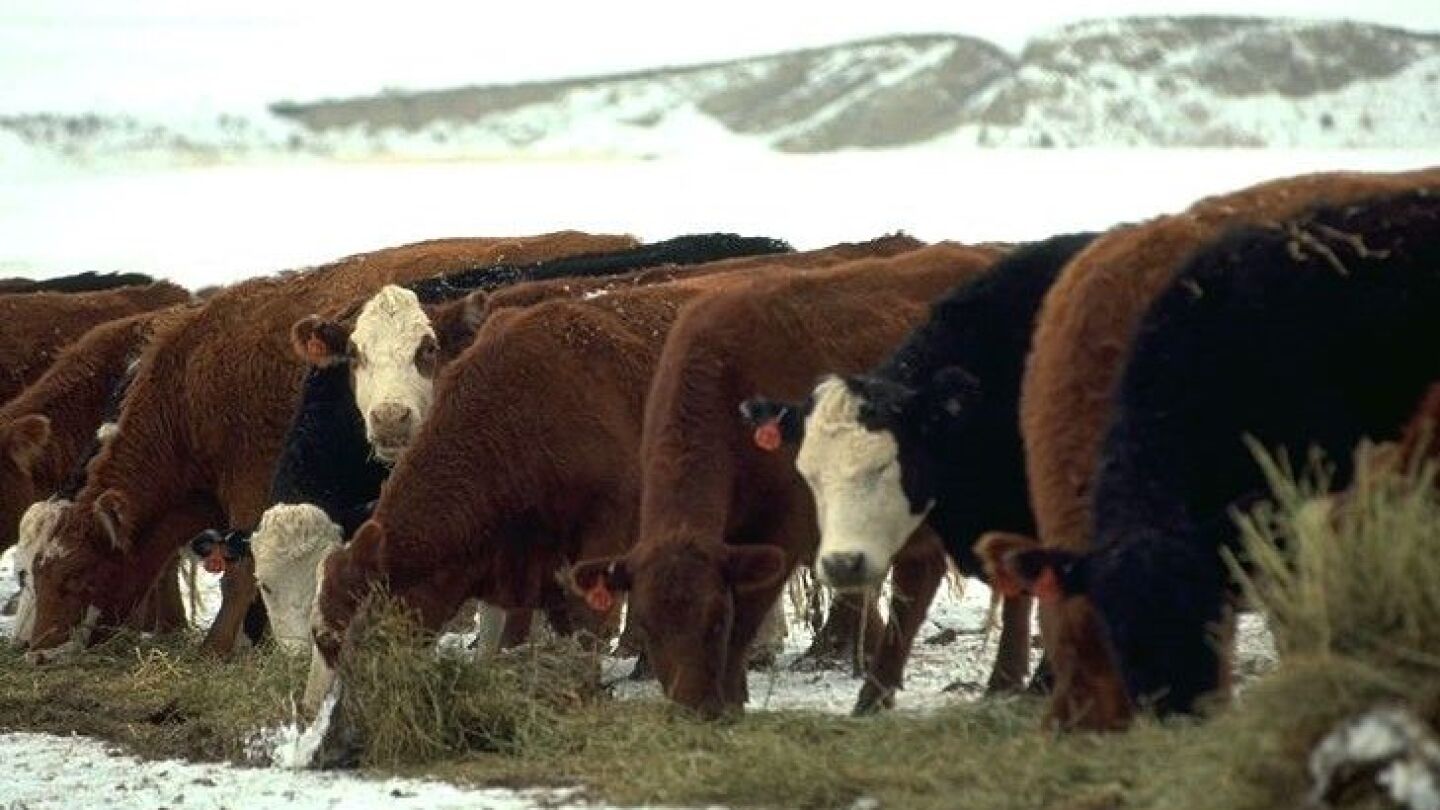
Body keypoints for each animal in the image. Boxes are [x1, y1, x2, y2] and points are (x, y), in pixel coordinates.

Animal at [23, 232, 640, 662]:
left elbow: (240, 578)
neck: (192, 385)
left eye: (72, 573)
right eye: (28, 572)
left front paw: (218, 650)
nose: (34, 650)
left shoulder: (250, 482)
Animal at [305, 243, 938, 715]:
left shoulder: (605, 526)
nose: (322, 716)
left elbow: (587, 620)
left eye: (344, 636)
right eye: (321, 636)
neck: (525, 406)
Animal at [568, 241, 1002, 718]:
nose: (693, 707)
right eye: (646, 627)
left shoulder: (783, 535)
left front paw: (731, 699)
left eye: (715, 620)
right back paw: (875, 695)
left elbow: (747, 618)